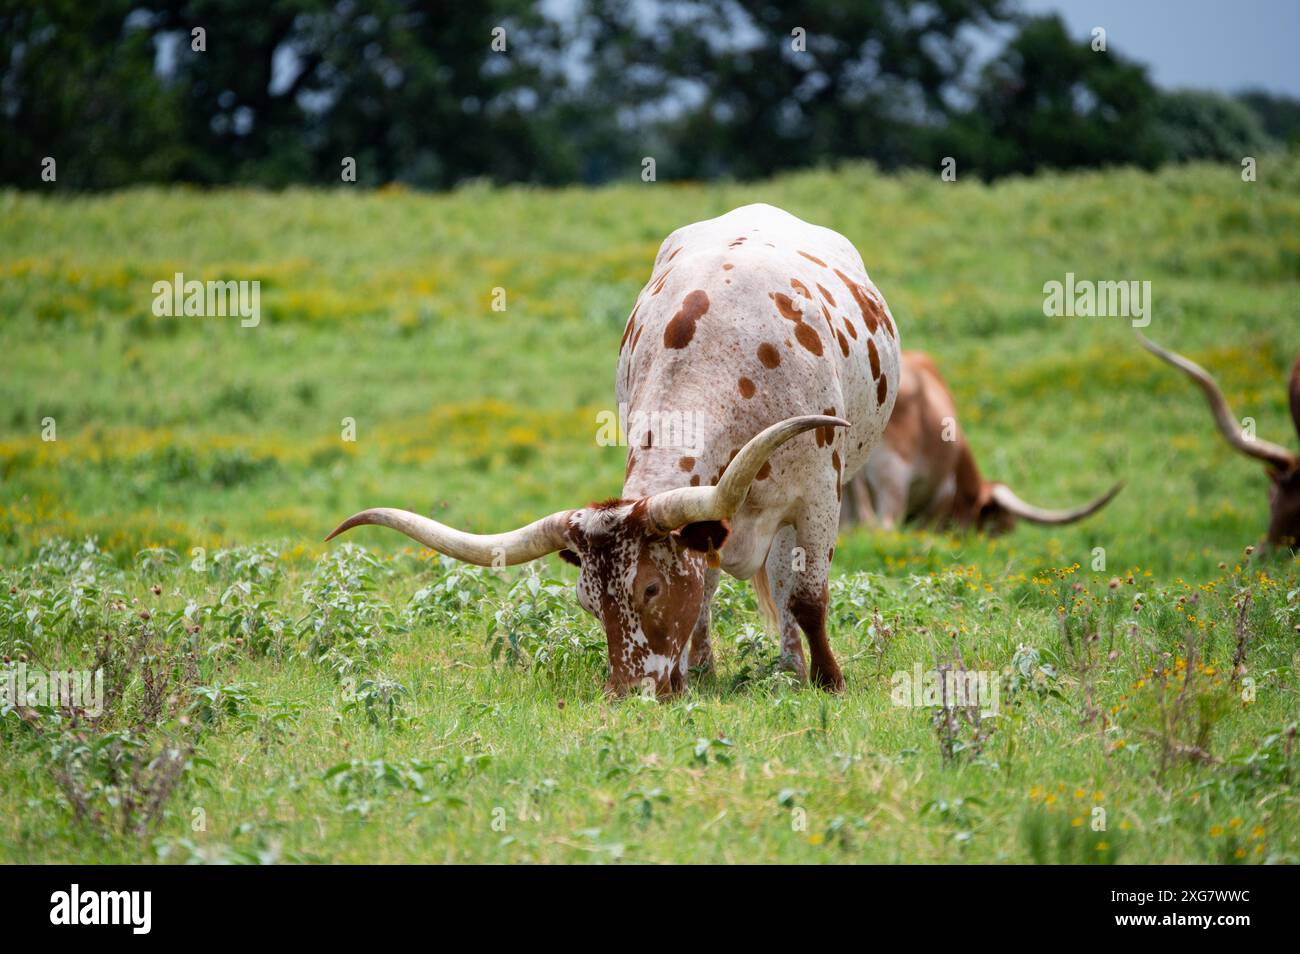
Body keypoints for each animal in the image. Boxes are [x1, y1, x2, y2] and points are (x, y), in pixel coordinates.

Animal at [327, 203, 900, 696]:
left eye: (650, 589)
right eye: (587, 602)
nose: (628, 693)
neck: (725, 356)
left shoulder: (820, 496)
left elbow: (805, 598)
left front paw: (829, 681)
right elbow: (706, 589)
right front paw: (699, 674)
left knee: (783, 584)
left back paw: (790, 667)